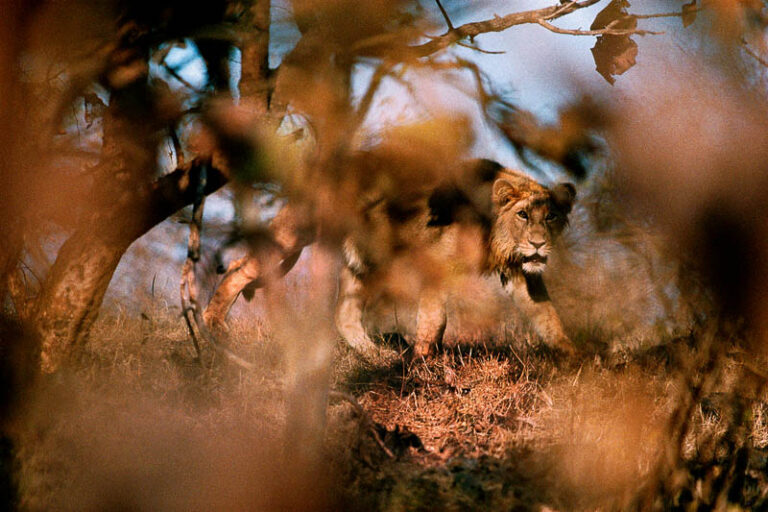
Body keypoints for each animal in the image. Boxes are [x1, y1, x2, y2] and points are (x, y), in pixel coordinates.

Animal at [202, 158, 577, 357]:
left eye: (551, 216)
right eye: (523, 215)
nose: (539, 244)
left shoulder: (522, 274)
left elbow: (546, 316)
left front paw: (572, 359)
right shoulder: (437, 263)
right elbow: (435, 318)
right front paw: (424, 360)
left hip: (360, 261)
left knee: (344, 315)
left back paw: (376, 355)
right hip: (297, 232)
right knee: (238, 268)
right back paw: (214, 325)